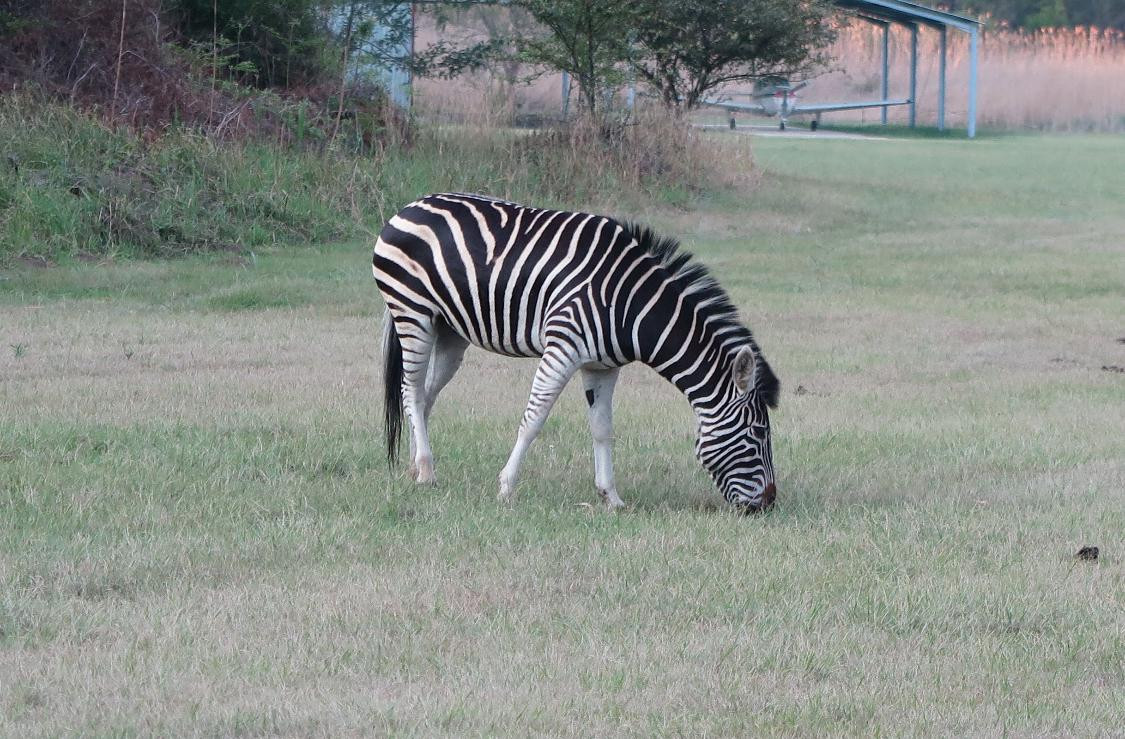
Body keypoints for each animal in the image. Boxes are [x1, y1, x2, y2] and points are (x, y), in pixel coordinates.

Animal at [373, 193, 780, 512]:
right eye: (759, 433)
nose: (769, 503)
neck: (631, 304)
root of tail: (411, 205)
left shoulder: (602, 366)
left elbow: (603, 429)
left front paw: (611, 497)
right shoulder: (562, 347)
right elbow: (533, 419)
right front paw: (506, 487)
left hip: (450, 332)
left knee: (425, 396)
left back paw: (417, 466)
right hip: (413, 314)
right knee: (411, 390)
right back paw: (426, 470)